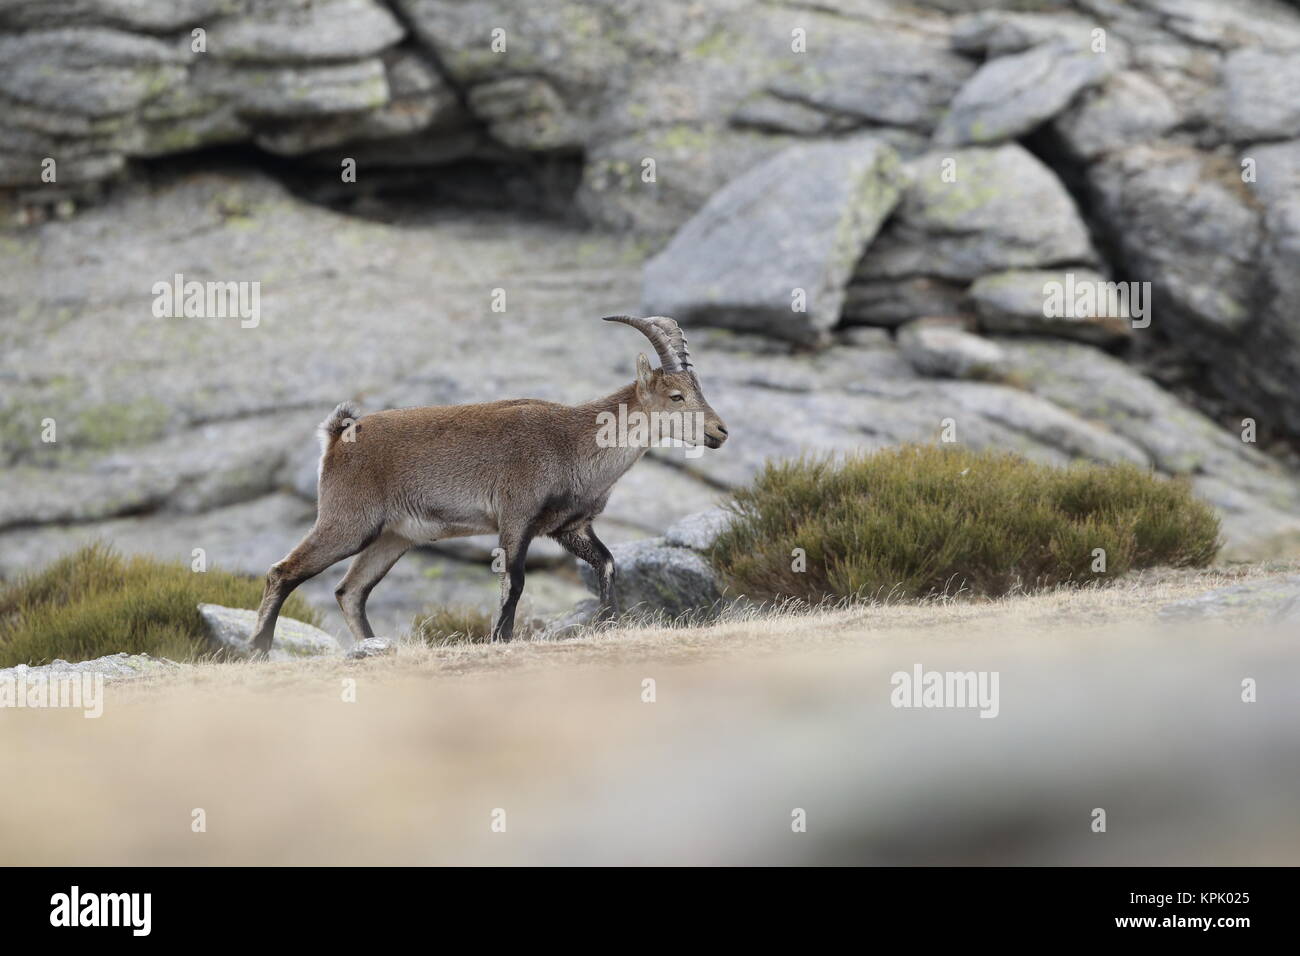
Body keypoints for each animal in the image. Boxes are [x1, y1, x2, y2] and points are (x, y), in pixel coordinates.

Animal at [248, 315, 729, 652]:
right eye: (676, 396)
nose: (720, 431)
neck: (574, 442)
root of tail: (339, 435)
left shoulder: (568, 527)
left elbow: (607, 564)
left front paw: (609, 625)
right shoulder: (517, 515)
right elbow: (513, 581)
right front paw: (501, 639)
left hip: (393, 537)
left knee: (350, 591)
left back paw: (371, 644)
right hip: (348, 521)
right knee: (282, 572)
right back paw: (259, 648)